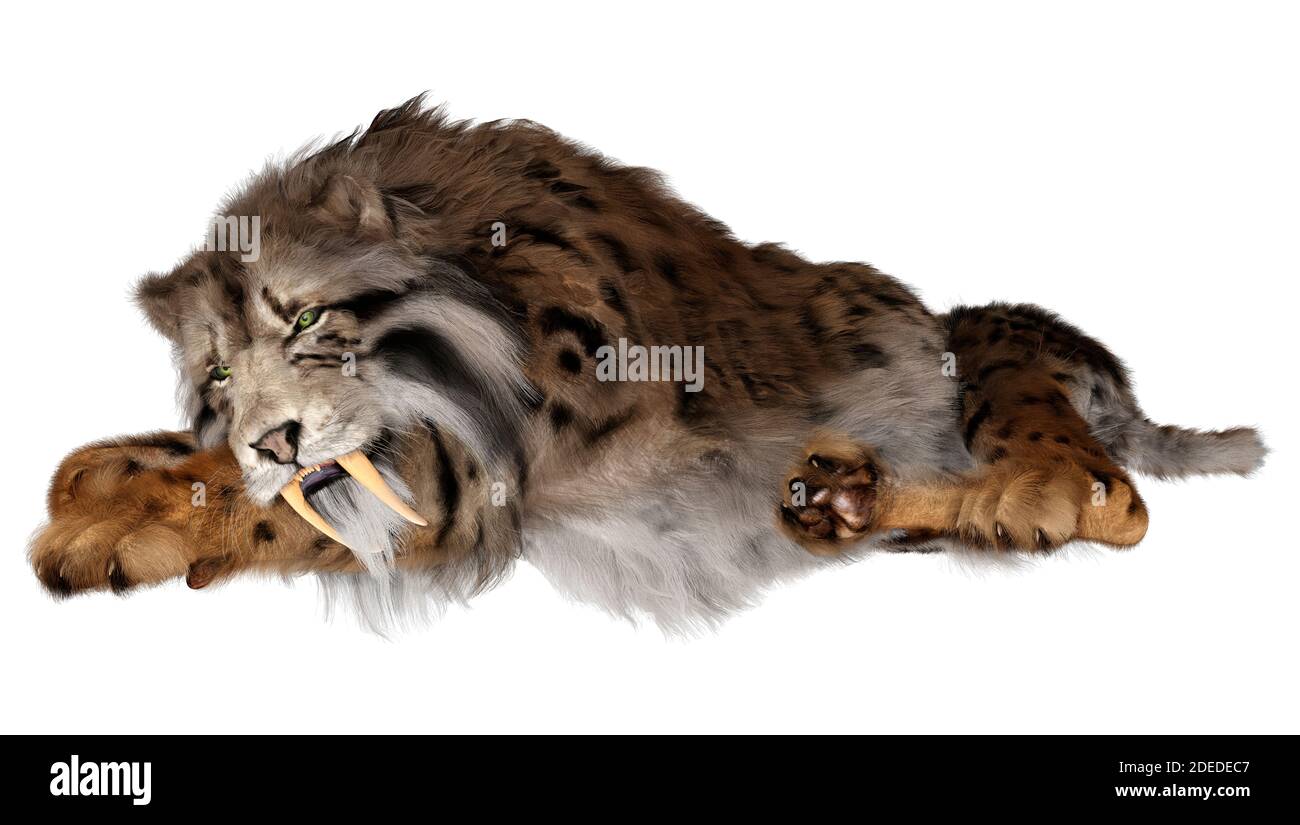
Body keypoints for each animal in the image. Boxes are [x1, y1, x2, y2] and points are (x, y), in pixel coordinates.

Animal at [28, 97, 1267, 632]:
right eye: (216, 378)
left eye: (308, 321)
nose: (274, 438)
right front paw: (100, 472)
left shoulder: (490, 489)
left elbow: (273, 508)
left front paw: (104, 526)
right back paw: (842, 499)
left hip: (993, 382)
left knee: (1097, 494)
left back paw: (915, 494)